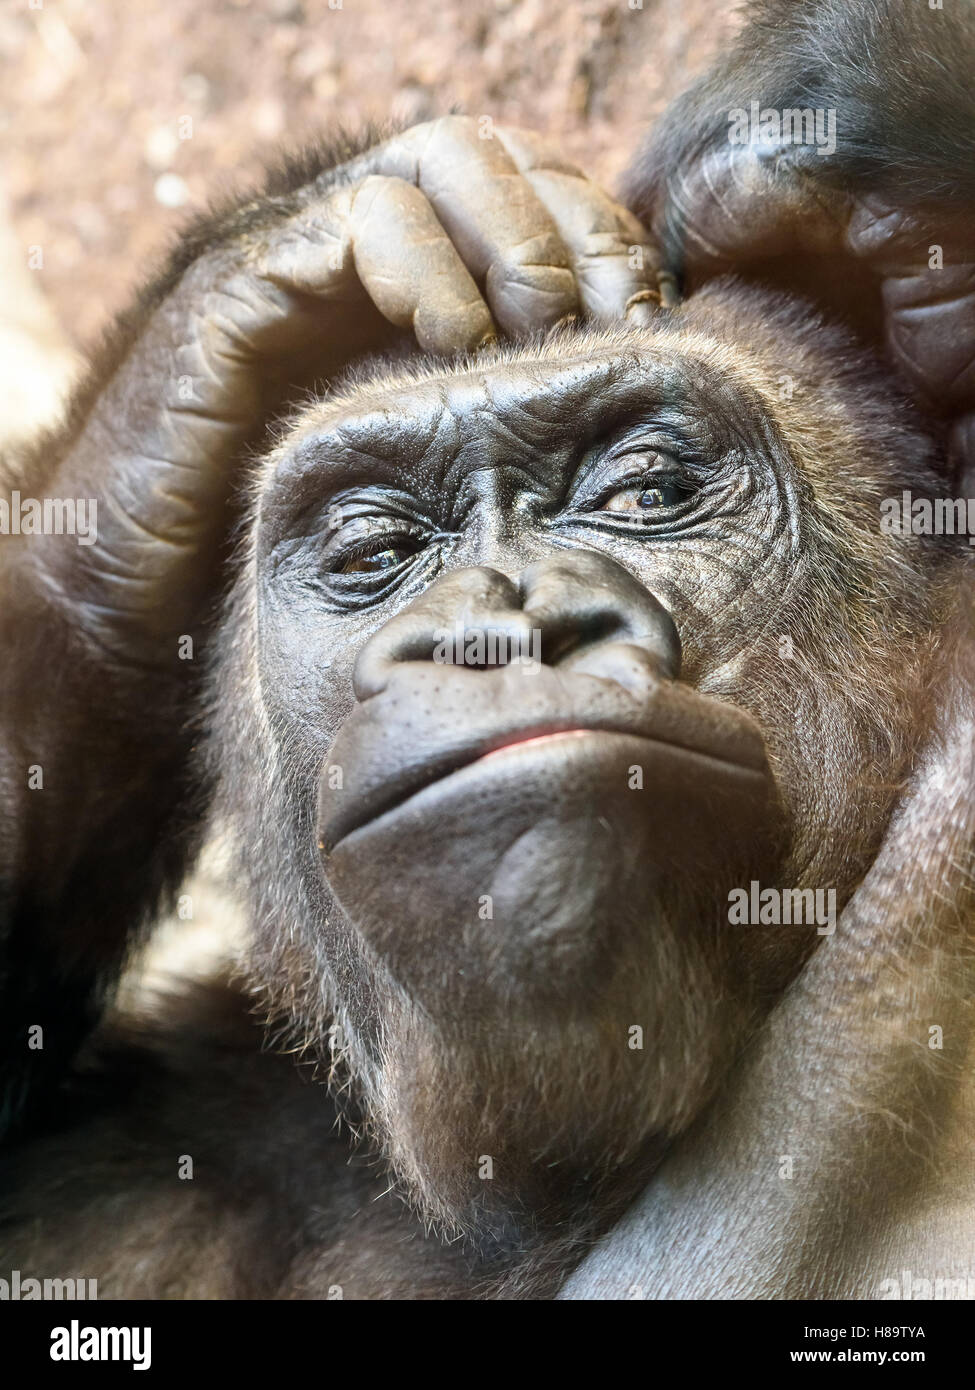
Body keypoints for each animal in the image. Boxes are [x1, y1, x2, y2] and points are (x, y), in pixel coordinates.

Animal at [1, 0, 974, 1300]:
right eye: (374, 548)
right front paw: (259, 289)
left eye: (647, 489)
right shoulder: (169, 1155)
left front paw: (869, 122)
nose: (494, 632)